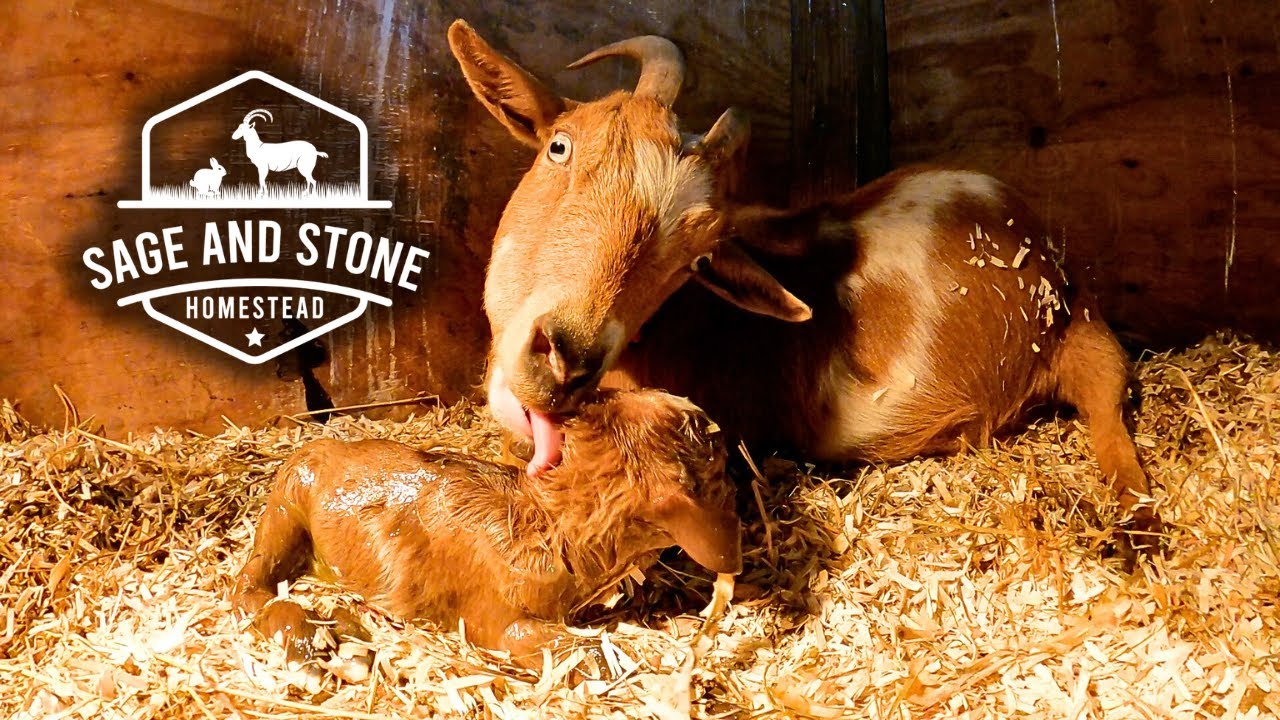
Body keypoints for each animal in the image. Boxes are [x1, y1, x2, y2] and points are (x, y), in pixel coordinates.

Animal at [232, 389, 740, 676]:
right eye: (716, 460)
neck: (550, 526)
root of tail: (314, 446)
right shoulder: (490, 608)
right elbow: (524, 636)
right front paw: (608, 662)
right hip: (288, 503)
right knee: (248, 587)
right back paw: (323, 647)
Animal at [447, 21, 1162, 548]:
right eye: (559, 147)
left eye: (693, 258)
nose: (563, 363)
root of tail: (1048, 265)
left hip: (1091, 346)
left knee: (1110, 414)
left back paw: (1136, 529)